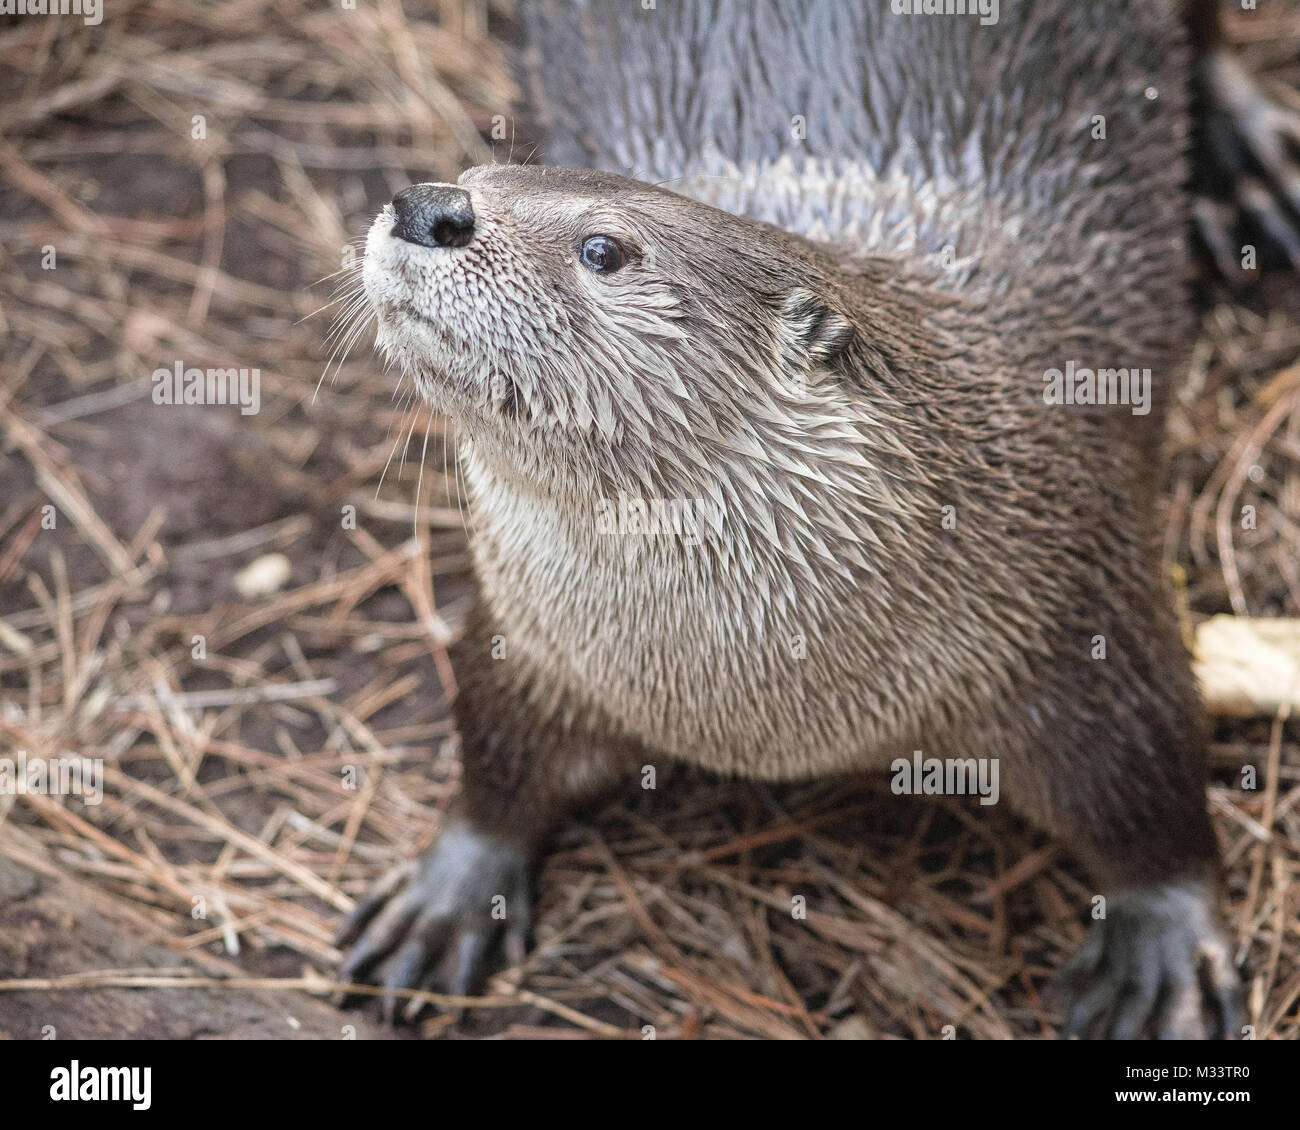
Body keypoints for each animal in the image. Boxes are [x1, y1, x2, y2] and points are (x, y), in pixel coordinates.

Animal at [335, 0, 1275, 1039]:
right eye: (476, 180)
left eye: (603, 250)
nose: (427, 205)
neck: (759, 710)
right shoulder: (529, 642)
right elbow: (490, 750)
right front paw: (447, 896)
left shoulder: (1084, 609)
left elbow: (1153, 784)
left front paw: (1164, 950)